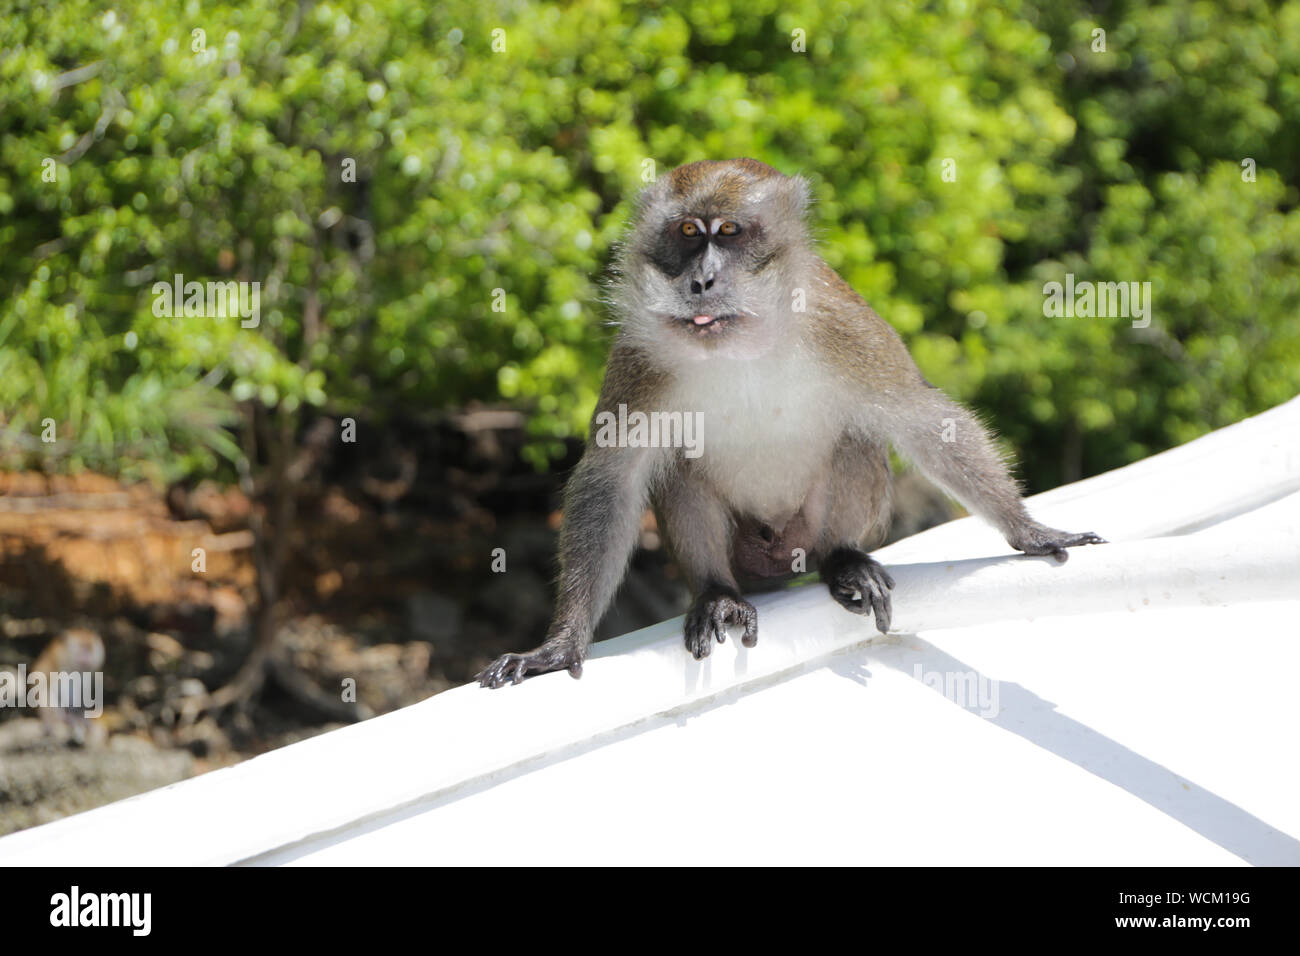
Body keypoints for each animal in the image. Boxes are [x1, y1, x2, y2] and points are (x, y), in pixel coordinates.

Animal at [477, 159, 1103, 688]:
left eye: (730, 232)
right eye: (688, 233)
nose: (701, 281)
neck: (741, 339)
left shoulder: (843, 324)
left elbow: (923, 418)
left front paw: (1031, 532)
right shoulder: (639, 354)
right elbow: (614, 474)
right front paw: (559, 644)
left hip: (809, 532)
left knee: (854, 445)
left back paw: (843, 562)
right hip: (743, 554)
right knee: (680, 470)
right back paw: (717, 595)